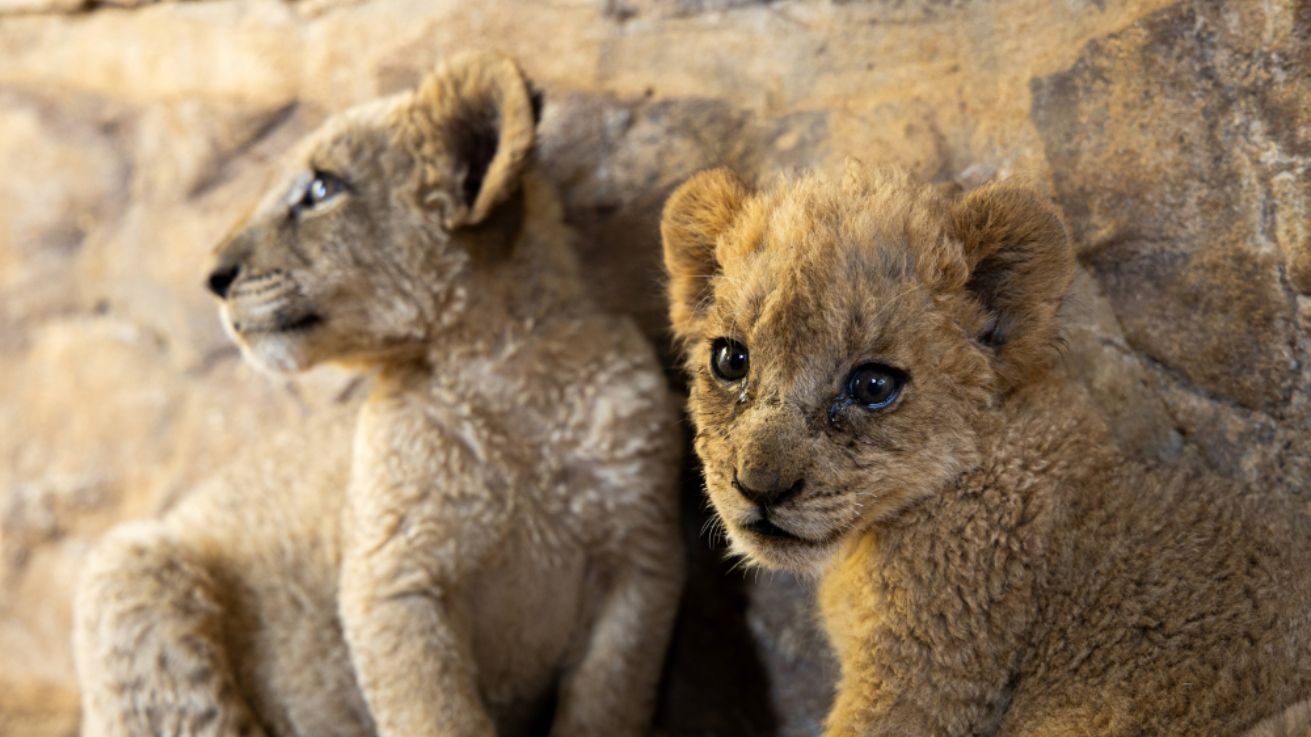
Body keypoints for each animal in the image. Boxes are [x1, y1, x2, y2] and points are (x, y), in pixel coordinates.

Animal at [73, 52, 683, 737]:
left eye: (320, 190)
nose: (213, 278)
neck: (503, 369)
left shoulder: (640, 564)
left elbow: (605, 703)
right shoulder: (393, 577)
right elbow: (438, 716)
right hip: (126, 566)